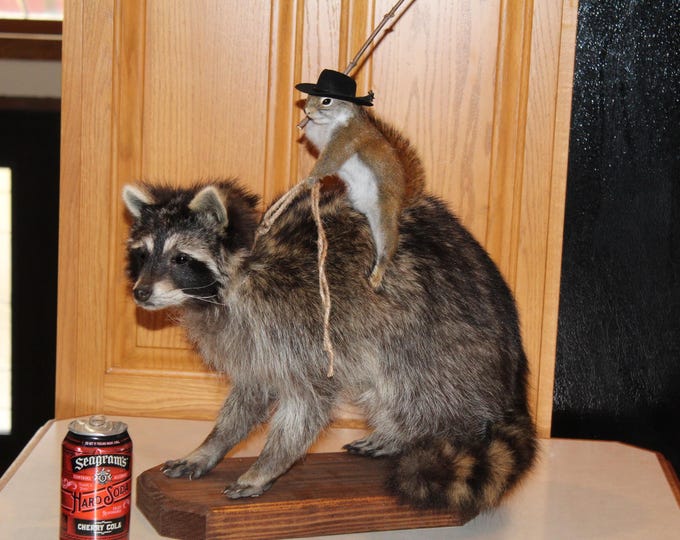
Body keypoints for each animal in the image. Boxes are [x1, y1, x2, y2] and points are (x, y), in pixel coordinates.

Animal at [122, 179, 536, 516]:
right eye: (143, 254)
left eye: (180, 258)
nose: (140, 293)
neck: (239, 274)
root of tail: (511, 376)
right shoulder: (252, 340)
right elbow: (250, 393)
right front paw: (212, 444)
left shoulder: (298, 324)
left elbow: (308, 402)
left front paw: (267, 465)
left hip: (441, 337)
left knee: (411, 385)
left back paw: (414, 433)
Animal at [296, 69, 424, 290]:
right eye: (310, 95)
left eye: (327, 100)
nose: (308, 110)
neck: (332, 122)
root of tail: (401, 201)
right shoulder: (320, 137)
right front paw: (303, 123)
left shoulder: (344, 141)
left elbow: (329, 162)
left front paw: (309, 179)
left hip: (384, 216)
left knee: (389, 246)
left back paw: (377, 276)